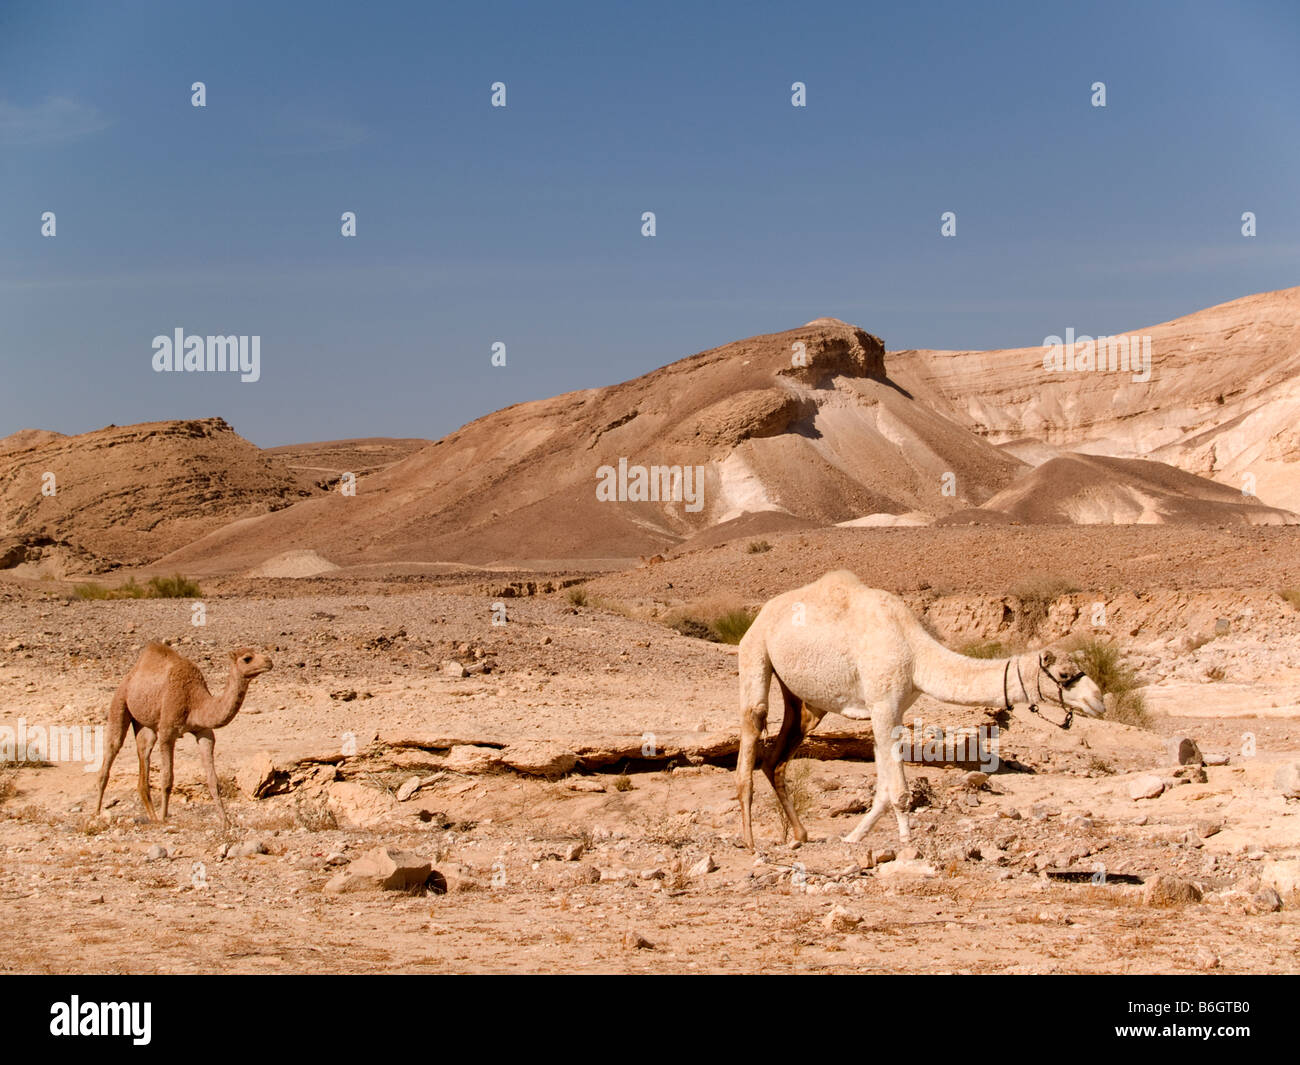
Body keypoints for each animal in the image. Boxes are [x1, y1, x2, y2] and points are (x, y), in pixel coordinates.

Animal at [94, 643, 273, 830]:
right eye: (247, 658)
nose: (269, 661)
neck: (194, 702)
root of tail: (132, 673)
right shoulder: (167, 731)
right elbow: (167, 779)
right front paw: (164, 818)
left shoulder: (204, 732)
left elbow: (213, 780)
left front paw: (226, 822)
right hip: (120, 701)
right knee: (112, 747)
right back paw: (97, 813)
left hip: (146, 725)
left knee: (144, 751)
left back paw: (152, 817)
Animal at [736, 570, 1105, 850]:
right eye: (1065, 675)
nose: (1098, 699)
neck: (916, 654)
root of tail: (763, 612)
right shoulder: (883, 704)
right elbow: (899, 790)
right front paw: (907, 846)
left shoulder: (889, 711)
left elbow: (885, 787)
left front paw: (854, 836)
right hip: (755, 648)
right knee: (754, 720)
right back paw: (751, 842)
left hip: (804, 699)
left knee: (779, 754)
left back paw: (799, 835)